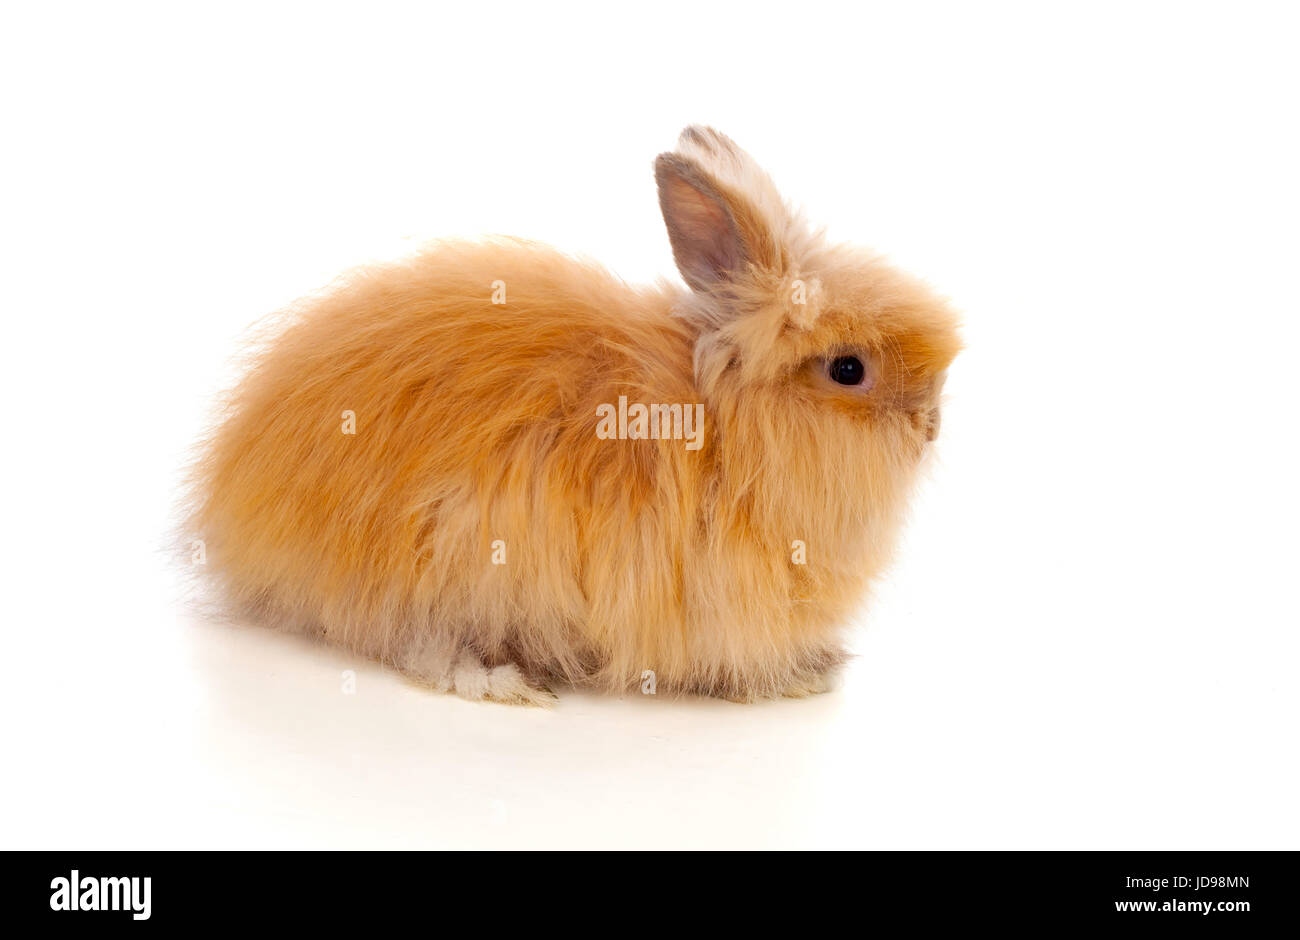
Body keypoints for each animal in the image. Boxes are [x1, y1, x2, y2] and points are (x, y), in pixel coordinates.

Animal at [187, 126, 961, 705]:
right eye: (848, 370)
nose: (932, 427)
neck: (727, 433)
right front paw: (796, 679)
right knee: (418, 644)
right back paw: (504, 681)